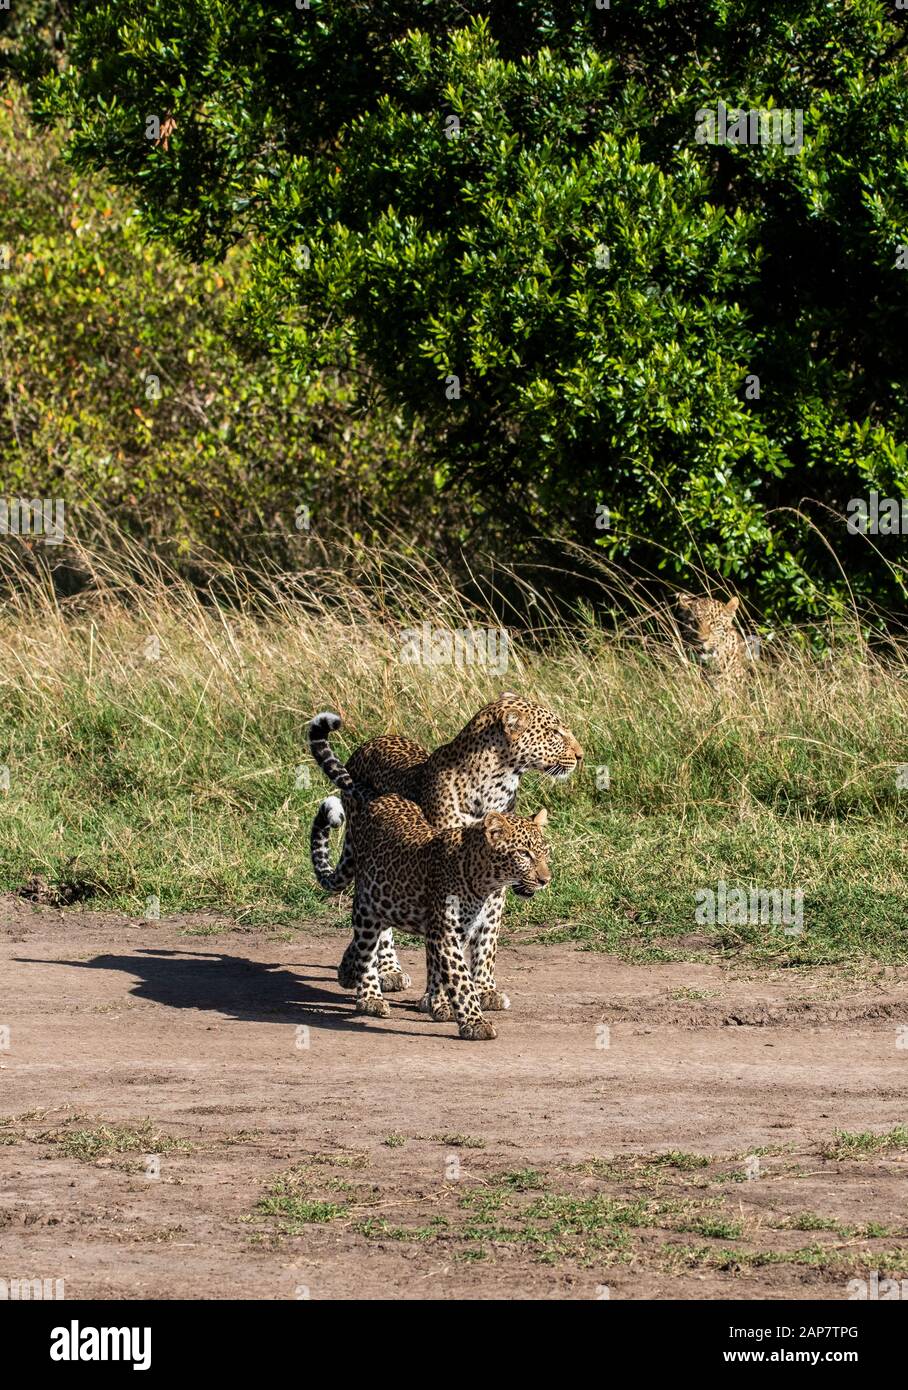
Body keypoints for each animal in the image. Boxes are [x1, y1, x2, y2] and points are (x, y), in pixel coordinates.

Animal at [308, 693, 581, 1009]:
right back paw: (386, 970)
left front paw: (486, 989)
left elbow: (488, 937)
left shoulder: (494, 881)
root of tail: (371, 742)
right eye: (555, 733)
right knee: (379, 919)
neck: (496, 785)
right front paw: (435, 996)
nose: (580, 756)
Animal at [311, 748, 552, 1040]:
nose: (545, 880)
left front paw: (439, 1004)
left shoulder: (456, 931)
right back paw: (370, 997)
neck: (481, 878)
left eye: (545, 852)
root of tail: (378, 797)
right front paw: (475, 1023)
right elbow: (461, 980)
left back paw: (349, 972)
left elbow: (440, 970)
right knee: (367, 947)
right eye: (523, 854)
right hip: (368, 904)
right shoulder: (445, 932)